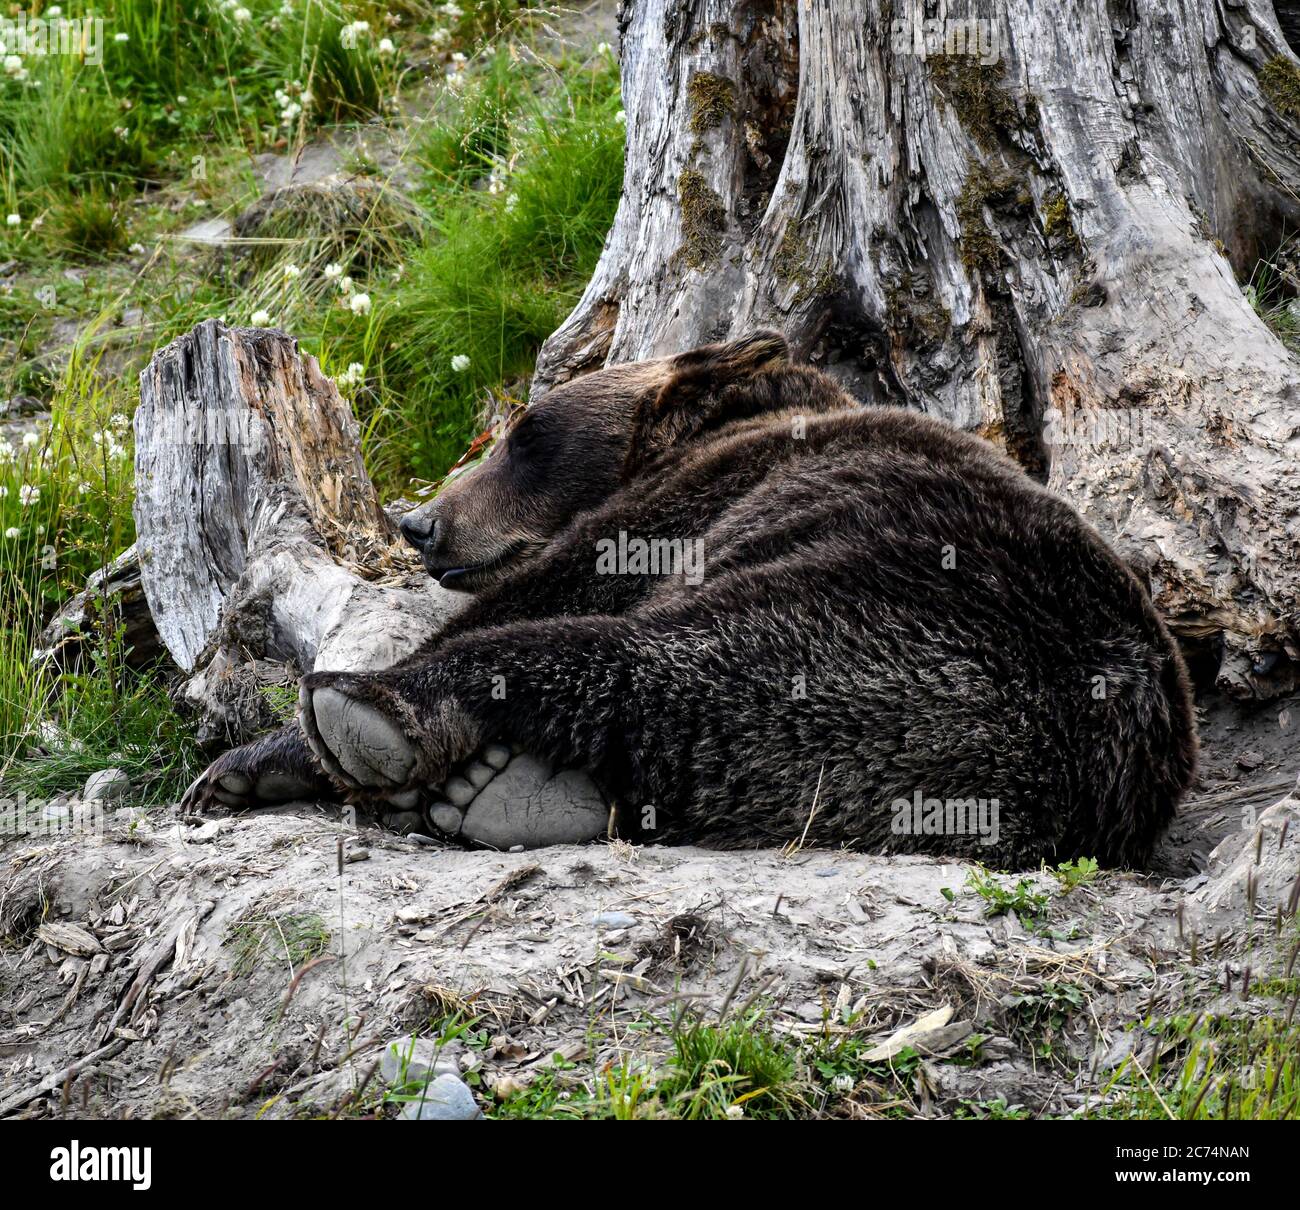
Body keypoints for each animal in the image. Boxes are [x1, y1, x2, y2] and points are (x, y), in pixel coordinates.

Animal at [182, 331, 1198, 868]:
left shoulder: (677, 509)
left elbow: (531, 595)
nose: (420, 523)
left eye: (525, 435)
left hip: (867, 607)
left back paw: (375, 724)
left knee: (608, 651)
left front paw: (248, 756)